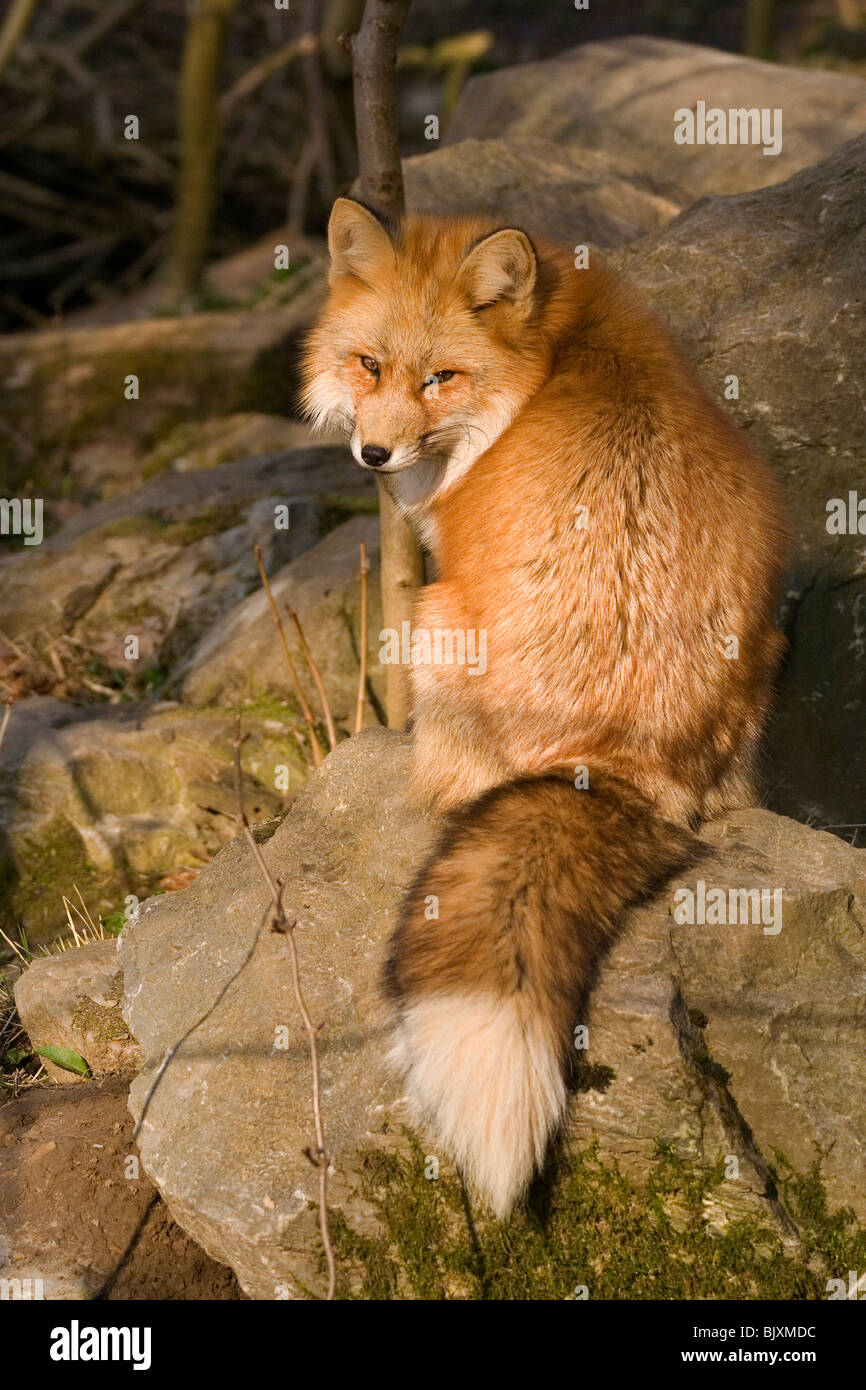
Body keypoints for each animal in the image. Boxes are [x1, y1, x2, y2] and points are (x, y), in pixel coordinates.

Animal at [301, 197, 788, 1218]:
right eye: (370, 365)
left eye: (440, 378)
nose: (374, 453)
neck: (551, 355)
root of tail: (609, 761)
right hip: (765, 659)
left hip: (432, 617)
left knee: (450, 792)